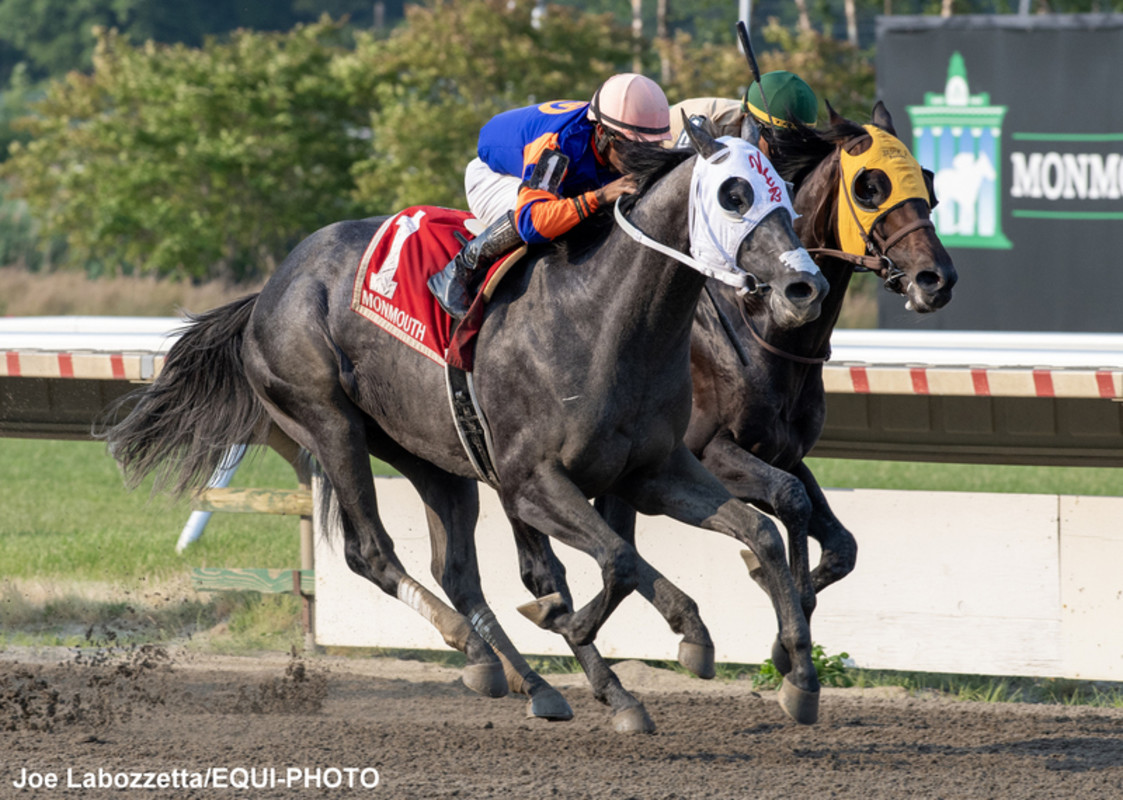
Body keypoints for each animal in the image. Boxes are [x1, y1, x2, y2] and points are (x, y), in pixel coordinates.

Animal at [103, 123, 832, 731]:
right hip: (329, 424)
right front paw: (647, 637)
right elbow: (618, 562)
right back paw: (474, 645)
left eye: (785, 193)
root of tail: (271, 288)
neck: (601, 320)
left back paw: (533, 681)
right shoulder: (532, 482)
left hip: (430, 454)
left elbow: (756, 534)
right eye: (734, 194)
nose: (805, 289)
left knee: (457, 569)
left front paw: (795, 674)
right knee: (372, 553)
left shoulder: (655, 469)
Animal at [512, 101, 957, 714]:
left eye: (928, 184)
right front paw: (786, 638)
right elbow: (790, 503)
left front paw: (785, 640)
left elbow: (838, 542)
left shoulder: (781, 452)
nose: (937, 279)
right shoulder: (707, 452)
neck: (765, 328)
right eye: (870, 187)